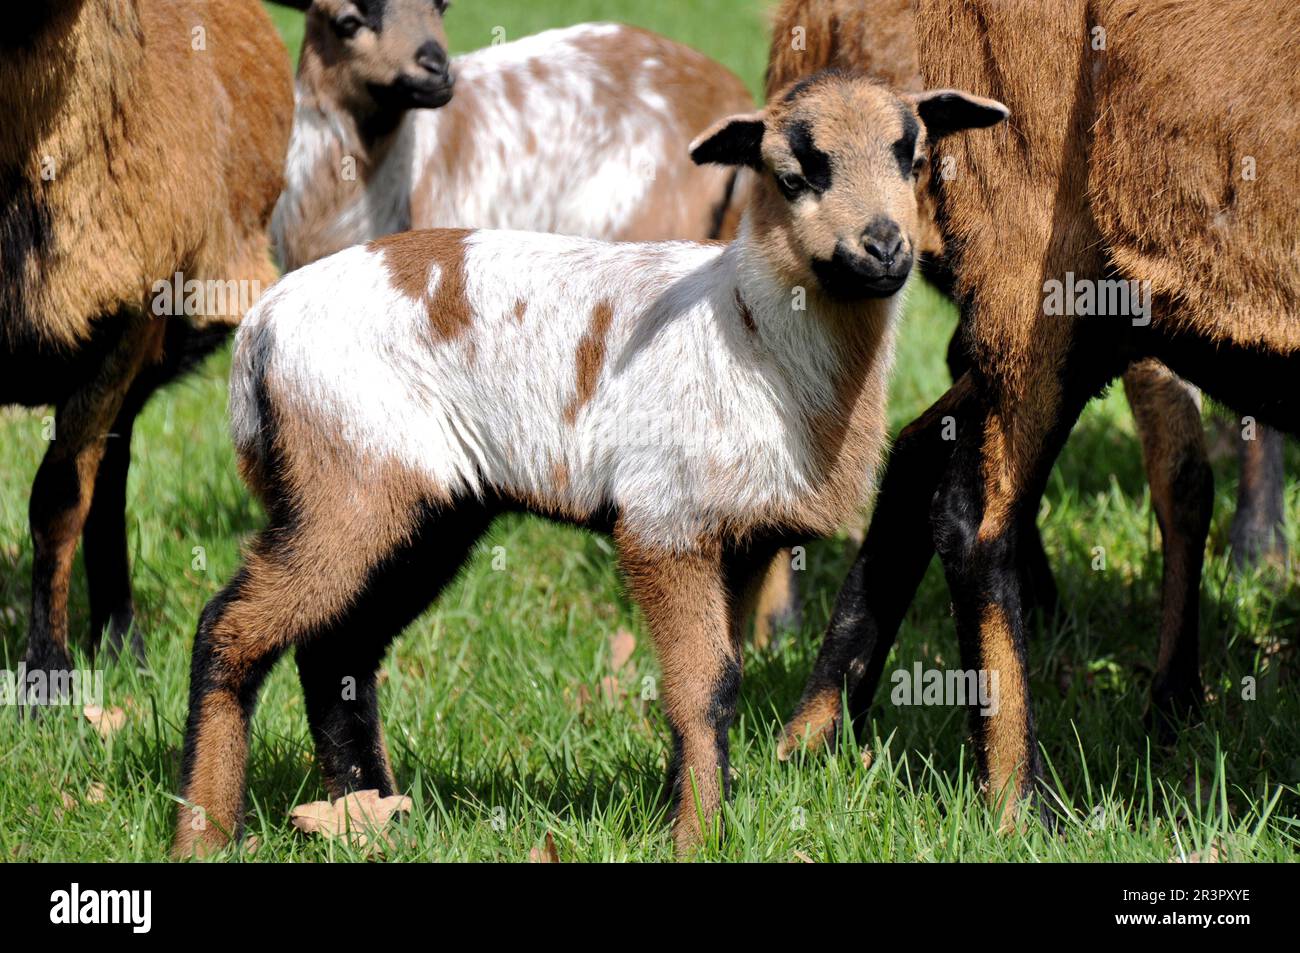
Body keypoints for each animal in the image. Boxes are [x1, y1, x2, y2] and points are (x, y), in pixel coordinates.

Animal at [172, 71, 1009, 857]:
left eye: (914, 157)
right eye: (794, 173)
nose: (885, 247)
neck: (750, 329)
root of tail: (260, 327)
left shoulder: (741, 539)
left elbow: (718, 680)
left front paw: (683, 810)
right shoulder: (664, 521)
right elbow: (705, 685)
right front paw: (697, 838)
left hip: (429, 507)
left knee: (338, 650)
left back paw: (372, 819)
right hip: (347, 477)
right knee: (230, 626)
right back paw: (205, 832)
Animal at [780, 0, 1299, 828]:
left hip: (1101, 305)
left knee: (923, 447)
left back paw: (813, 733)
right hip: (1034, 256)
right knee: (974, 513)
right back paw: (1021, 799)